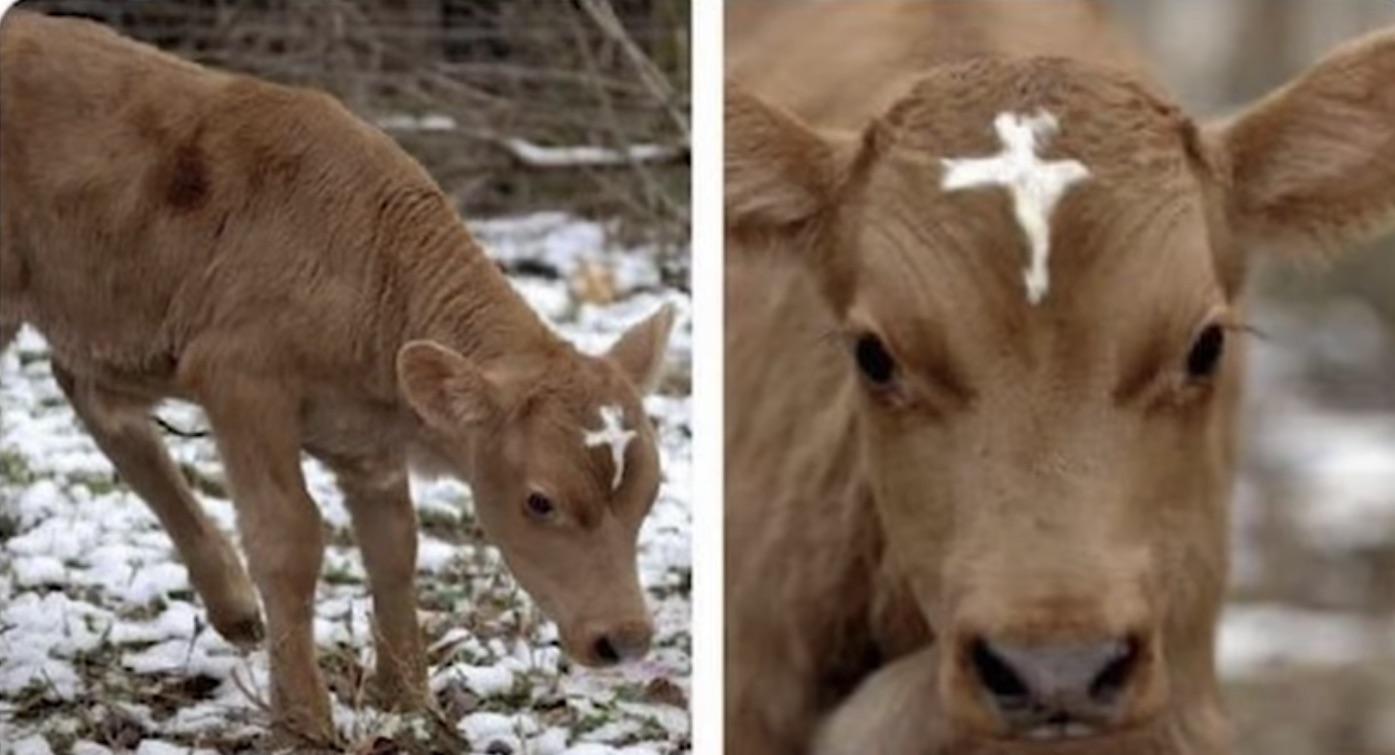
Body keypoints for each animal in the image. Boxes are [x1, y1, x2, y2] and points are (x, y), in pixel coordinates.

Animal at [0, 10, 676, 744]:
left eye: (650, 493)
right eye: (540, 501)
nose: (625, 639)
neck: (369, 267)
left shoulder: (365, 434)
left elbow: (394, 544)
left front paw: (407, 695)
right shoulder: (242, 379)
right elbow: (289, 539)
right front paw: (303, 717)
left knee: (93, 395)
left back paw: (233, 603)